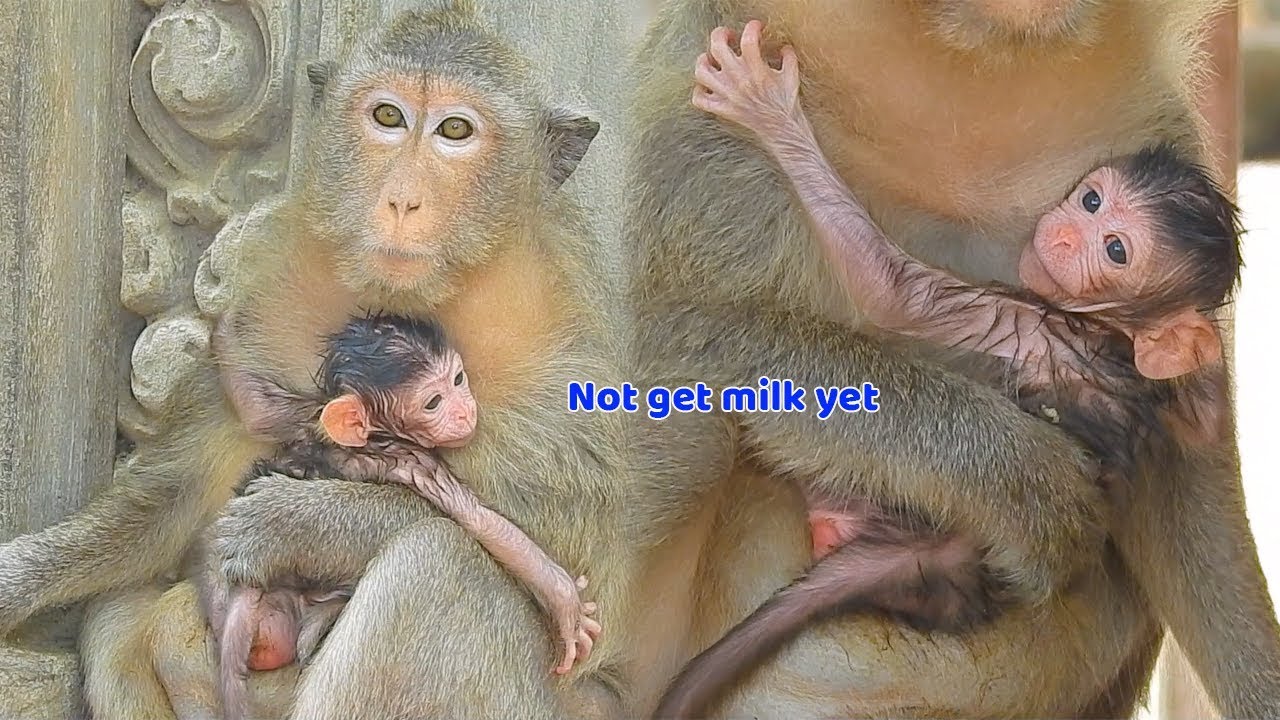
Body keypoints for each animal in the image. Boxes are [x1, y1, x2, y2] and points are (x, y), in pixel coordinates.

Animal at [206, 312, 601, 719]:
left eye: (457, 379)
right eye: (433, 402)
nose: (465, 411)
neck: (374, 437)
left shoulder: (313, 412)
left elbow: (259, 411)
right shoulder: (417, 459)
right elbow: (478, 519)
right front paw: (564, 600)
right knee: (437, 544)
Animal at [622, 2, 1280, 719]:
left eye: (1116, 250)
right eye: (1092, 200)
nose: (1063, 235)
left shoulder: (1028, 303)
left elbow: (870, 295)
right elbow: (688, 327)